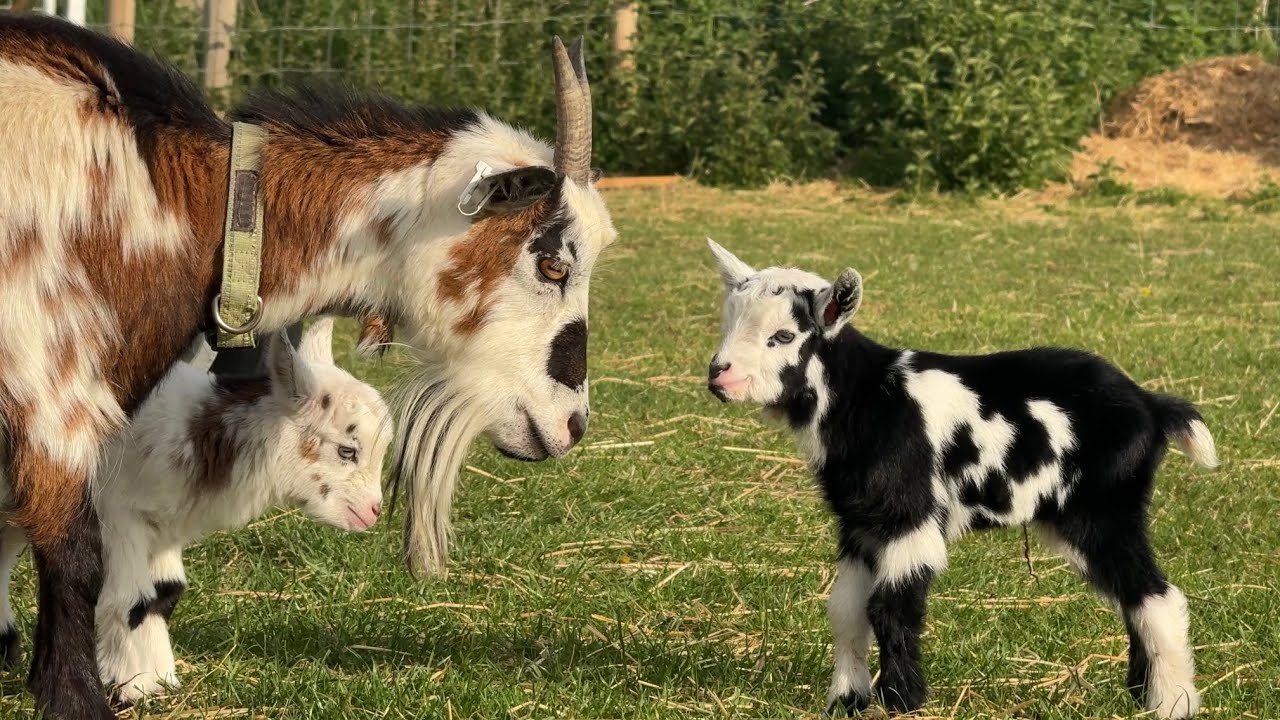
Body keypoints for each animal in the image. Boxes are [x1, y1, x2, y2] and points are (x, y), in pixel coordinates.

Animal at [0, 318, 391, 704]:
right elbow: (132, 599)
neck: (197, 435)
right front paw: (135, 688)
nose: (374, 511)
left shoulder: (163, 523)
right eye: (346, 451)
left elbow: (165, 593)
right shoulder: (116, 514)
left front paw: (161, 680)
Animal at [704, 240, 1216, 720]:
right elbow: (846, 609)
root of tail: (1152, 405)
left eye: (783, 335)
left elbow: (891, 608)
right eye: (728, 322)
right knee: (1132, 599)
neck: (870, 397)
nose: (718, 376)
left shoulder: (908, 515)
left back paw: (1172, 703)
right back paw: (1142, 694)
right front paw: (846, 701)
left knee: (1157, 597)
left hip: (1103, 509)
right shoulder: (860, 522)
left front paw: (903, 700)